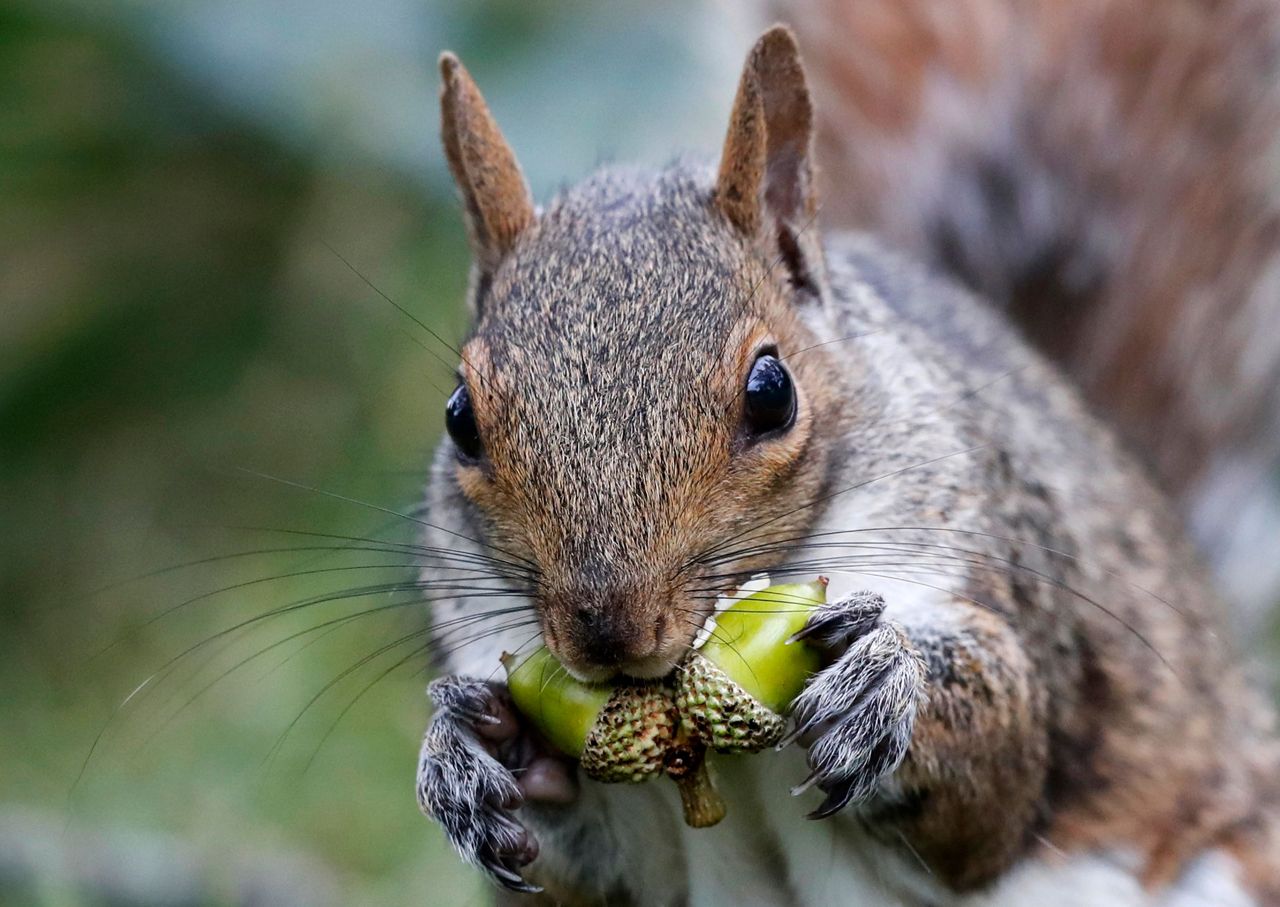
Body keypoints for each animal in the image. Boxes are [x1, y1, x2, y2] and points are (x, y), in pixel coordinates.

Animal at [415, 15, 1280, 907]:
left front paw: (885, 680)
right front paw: (471, 750)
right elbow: (588, 860)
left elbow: (997, 785)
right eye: (460, 418)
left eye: (772, 393)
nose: (608, 633)